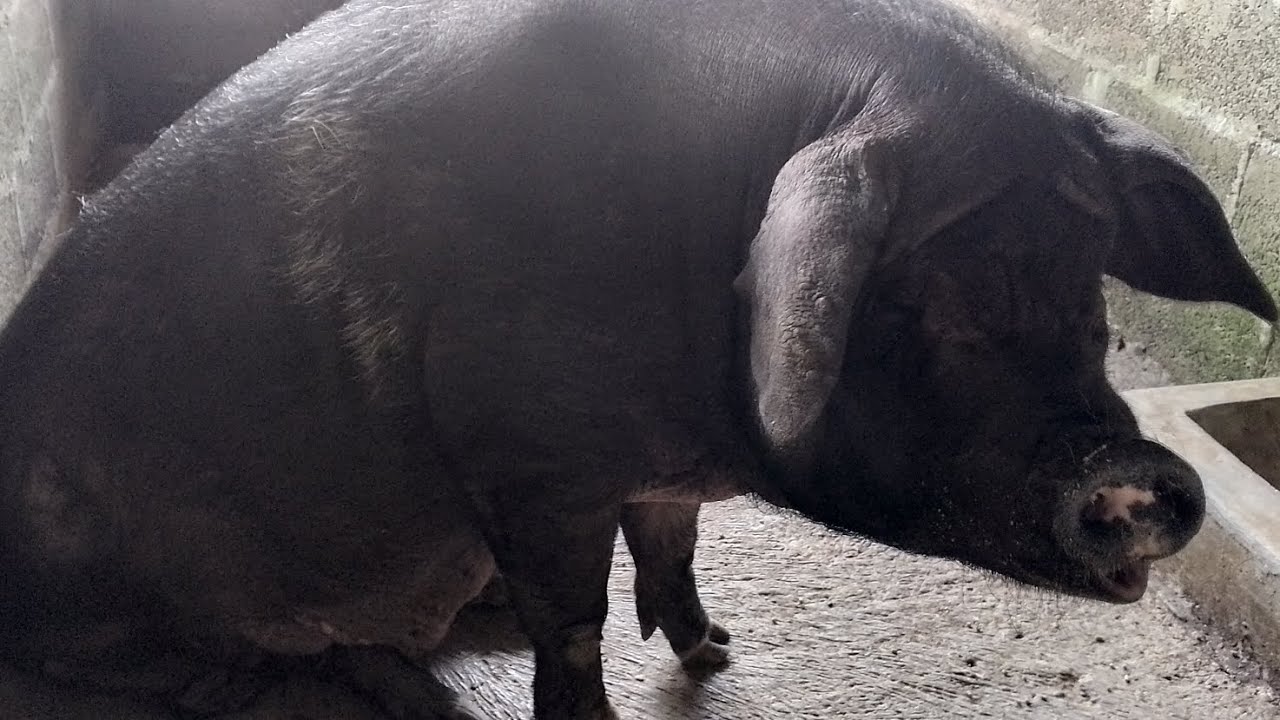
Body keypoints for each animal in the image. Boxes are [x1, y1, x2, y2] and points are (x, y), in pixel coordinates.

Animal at [1, 0, 1274, 718]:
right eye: (917, 296)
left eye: (1090, 284)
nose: (1147, 480)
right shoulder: (523, 454)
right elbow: (573, 622)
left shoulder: (650, 475)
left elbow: (672, 540)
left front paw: (713, 652)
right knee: (181, 666)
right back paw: (386, 690)